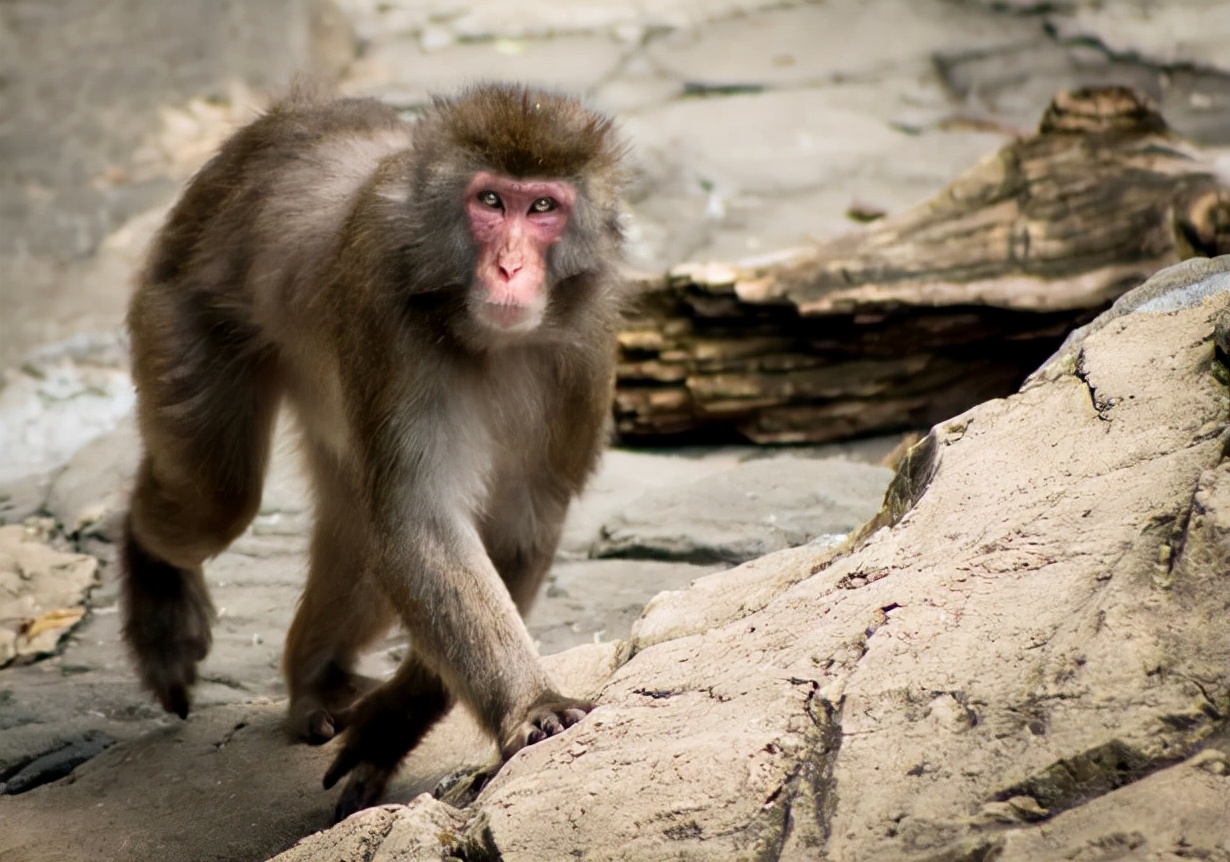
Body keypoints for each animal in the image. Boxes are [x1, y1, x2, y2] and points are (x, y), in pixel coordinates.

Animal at [119, 83, 627, 818]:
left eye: (543, 208)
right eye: (490, 201)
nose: (509, 266)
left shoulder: (586, 344)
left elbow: (522, 521)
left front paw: (391, 726)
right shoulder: (386, 308)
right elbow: (420, 522)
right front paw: (532, 704)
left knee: (353, 520)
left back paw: (316, 677)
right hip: (180, 305)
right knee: (217, 500)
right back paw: (153, 580)